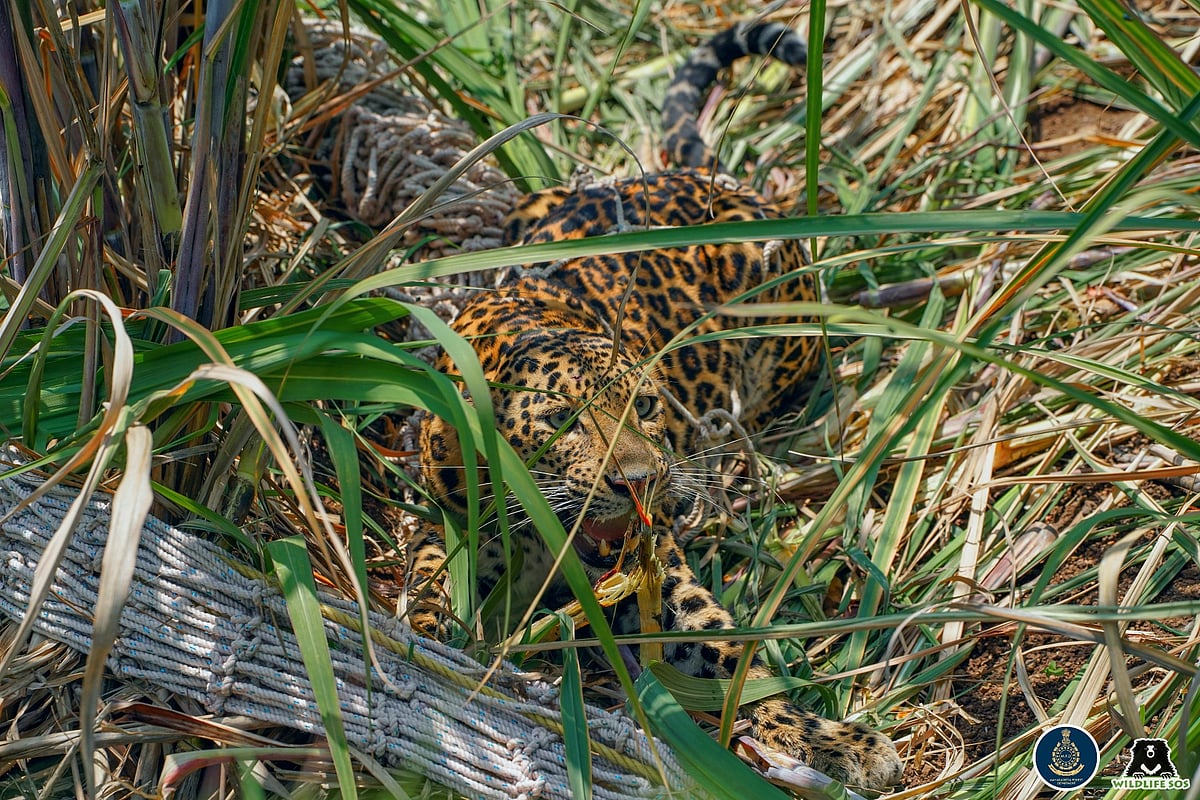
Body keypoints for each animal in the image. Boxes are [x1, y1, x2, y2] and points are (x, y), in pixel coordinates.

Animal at [411, 21, 903, 791]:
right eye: (560, 421)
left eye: (645, 407)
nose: (640, 482)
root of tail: (709, 180)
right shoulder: (437, 516)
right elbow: (430, 583)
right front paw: (430, 634)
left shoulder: (662, 578)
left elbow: (730, 657)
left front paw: (832, 741)